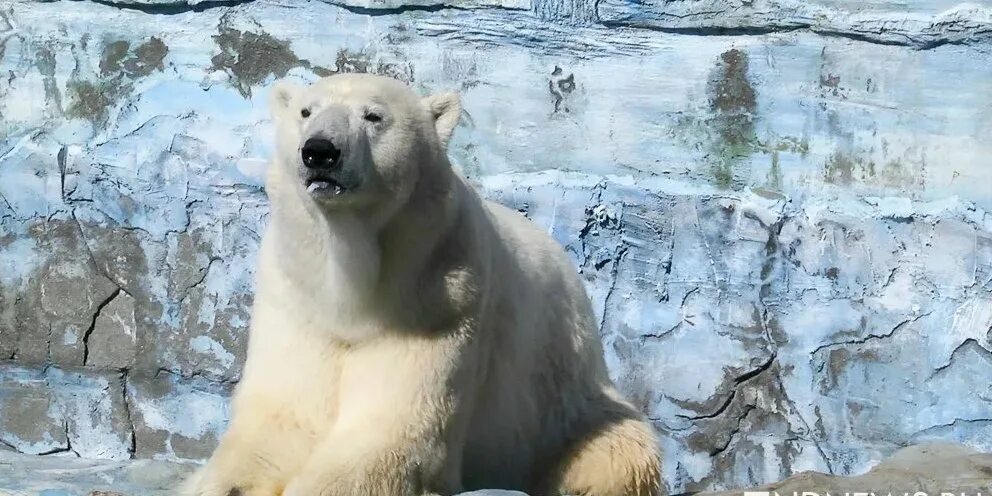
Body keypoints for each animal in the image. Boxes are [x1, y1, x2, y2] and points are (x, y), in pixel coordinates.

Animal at [181, 73, 663, 496]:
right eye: (306, 111)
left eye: (373, 115)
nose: (319, 151)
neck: (353, 286)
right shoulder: (297, 299)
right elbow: (284, 419)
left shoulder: (439, 297)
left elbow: (393, 430)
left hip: (568, 405)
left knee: (615, 455)